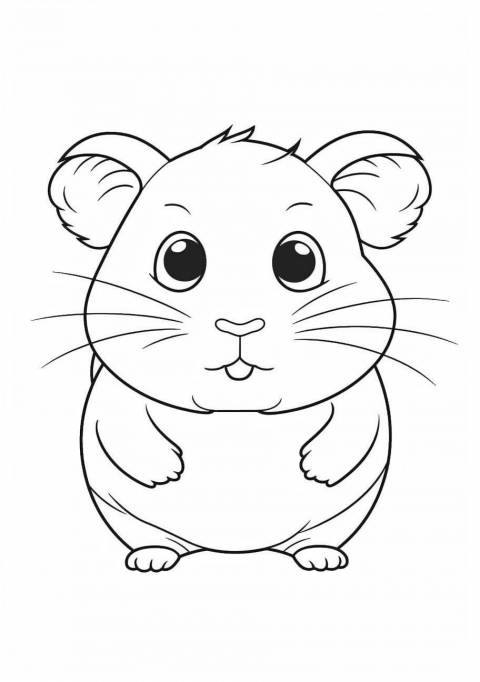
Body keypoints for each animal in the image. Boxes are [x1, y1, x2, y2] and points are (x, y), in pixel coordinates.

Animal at [47, 127, 431, 571]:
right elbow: (117, 420)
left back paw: (320, 556)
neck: (237, 409)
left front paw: (319, 469)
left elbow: (358, 417)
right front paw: (162, 471)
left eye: (298, 259)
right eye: (179, 259)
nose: (240, 324)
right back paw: (152, 557)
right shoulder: (116, 385)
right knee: (151, 537)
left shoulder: (359, 381)